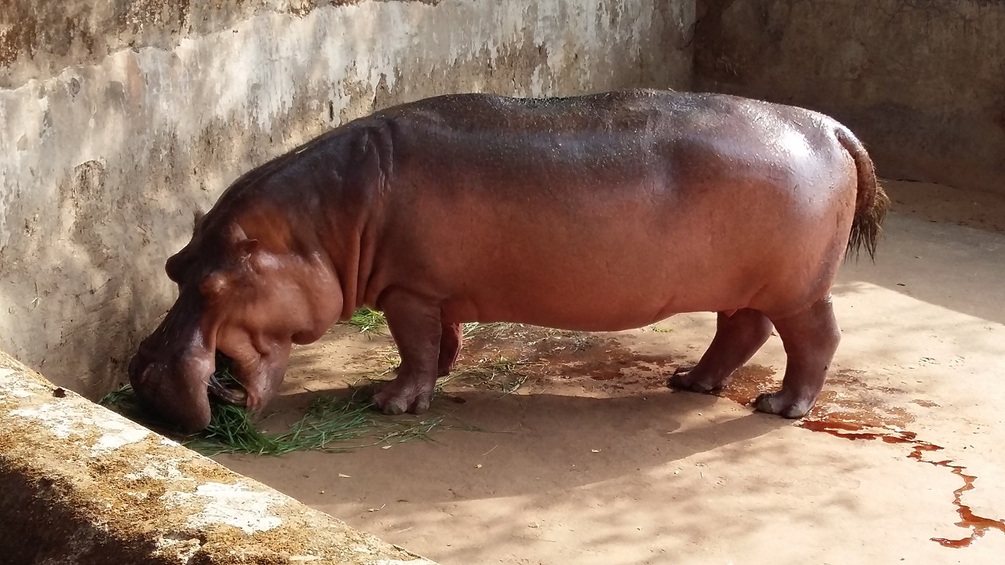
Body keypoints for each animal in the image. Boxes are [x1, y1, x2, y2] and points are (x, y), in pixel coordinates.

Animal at [128, 89, 888, 432]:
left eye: (217, 283)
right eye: (172, 265)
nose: (143, 374)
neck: (318, 224)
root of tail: (829, 126)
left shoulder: (408, 290)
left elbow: (411, 346)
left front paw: (389, 402)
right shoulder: (432, 290)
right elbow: (438, 341)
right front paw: (439, 375)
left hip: (795, 289)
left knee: (815, 339)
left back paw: (780, 407)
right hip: (746, 284)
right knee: (740, 331)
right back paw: (689, 382)